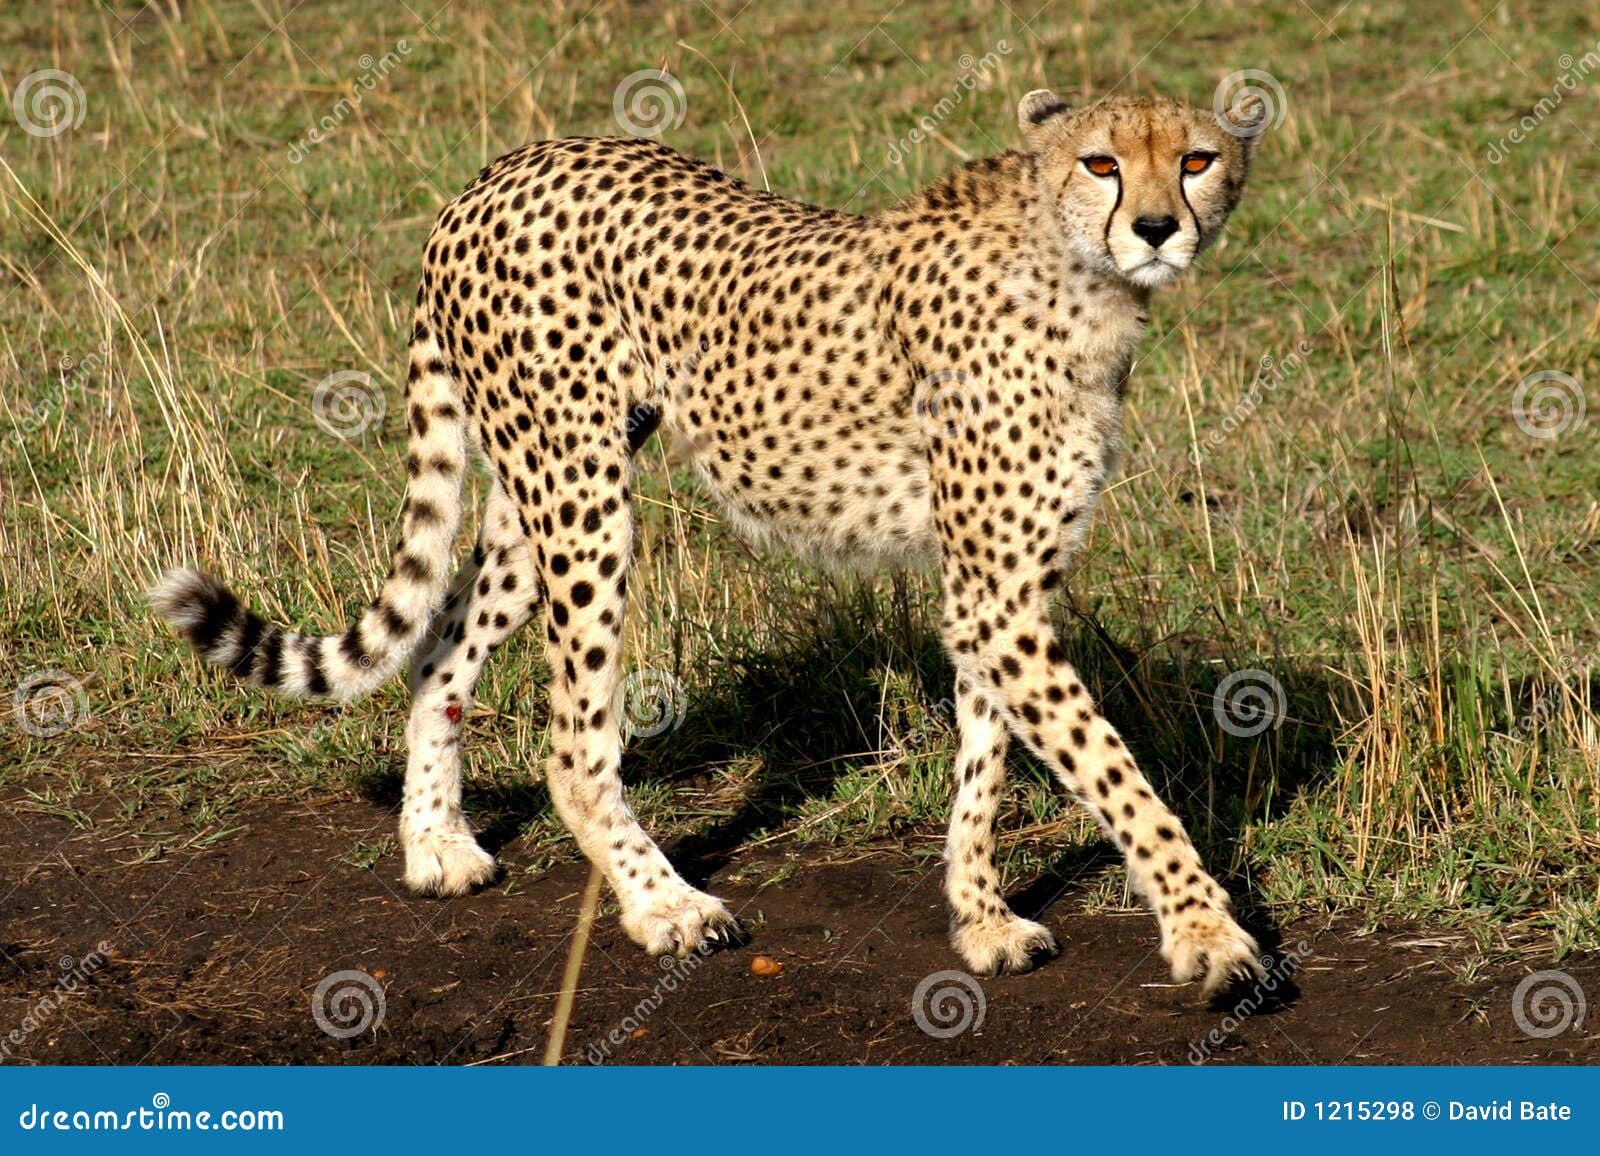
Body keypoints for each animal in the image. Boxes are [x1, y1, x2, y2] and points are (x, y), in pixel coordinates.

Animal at [153, 88, 1271, 996]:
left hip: (535, 501)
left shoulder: (1000, 586)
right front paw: (1210, 938)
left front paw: (981, 919)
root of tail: (498, 170)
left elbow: (985, 762)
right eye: (1101, 162)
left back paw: (437, 847)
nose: (1158, 228)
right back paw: (665, 905)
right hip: (583, 496)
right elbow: (1118, 774)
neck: (1080, 274)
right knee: (573, 743)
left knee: (438, 652)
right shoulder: (996, 595)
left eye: (1196, 158)